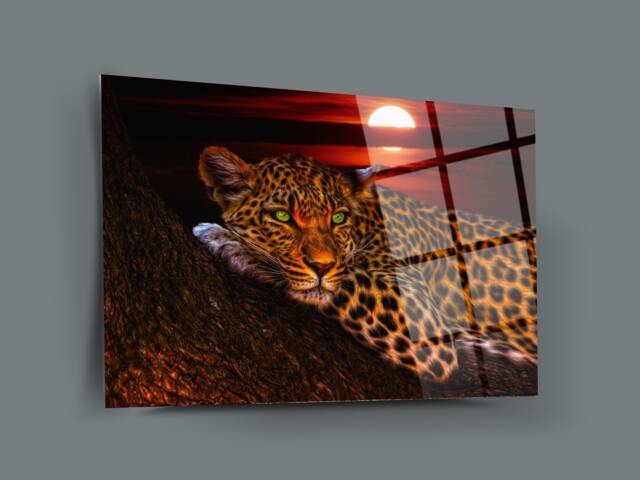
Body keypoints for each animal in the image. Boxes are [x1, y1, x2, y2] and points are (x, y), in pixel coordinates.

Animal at [193, 146, 537, 382]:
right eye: (282, 216)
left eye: (337, 218)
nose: (321, 266)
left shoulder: (421, 318)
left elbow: (348, 279)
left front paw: (228, 241)